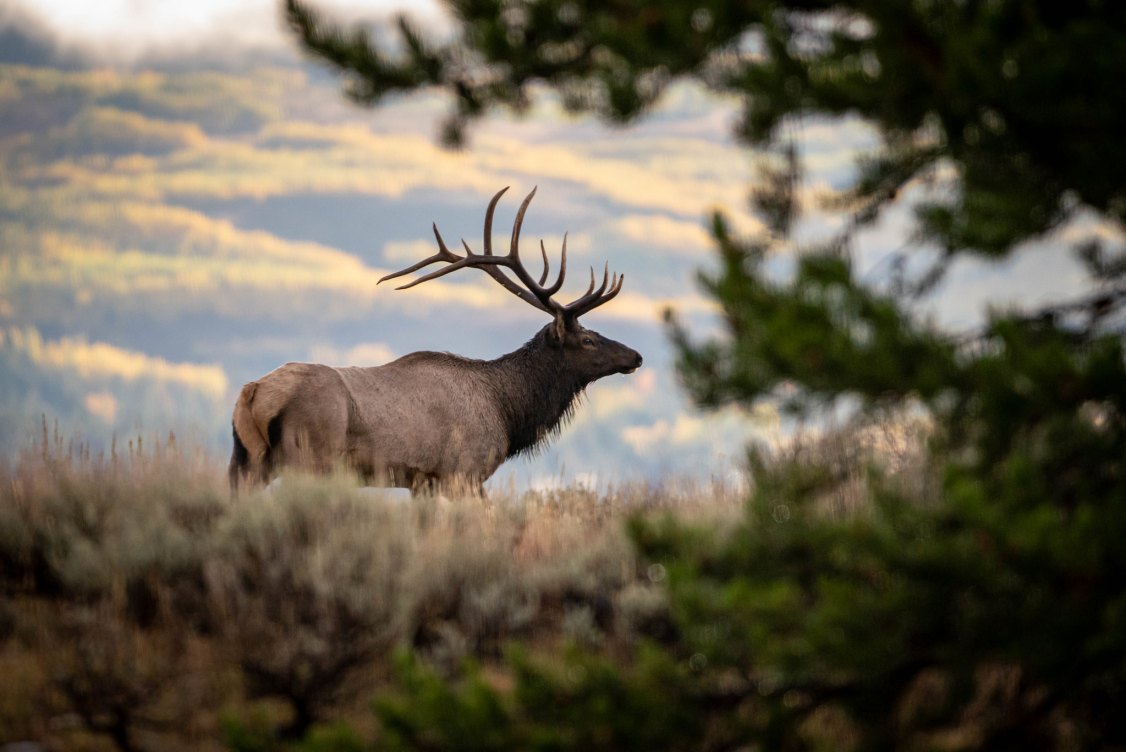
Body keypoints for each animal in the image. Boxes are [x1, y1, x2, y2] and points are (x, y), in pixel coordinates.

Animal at [228, 186, 642, 496]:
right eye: (587, 339)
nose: (636, 356)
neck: (507, 412)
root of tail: (252, 393)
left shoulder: (421, 481)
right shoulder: (462, 472)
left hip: (248, 460)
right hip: (309, 458)